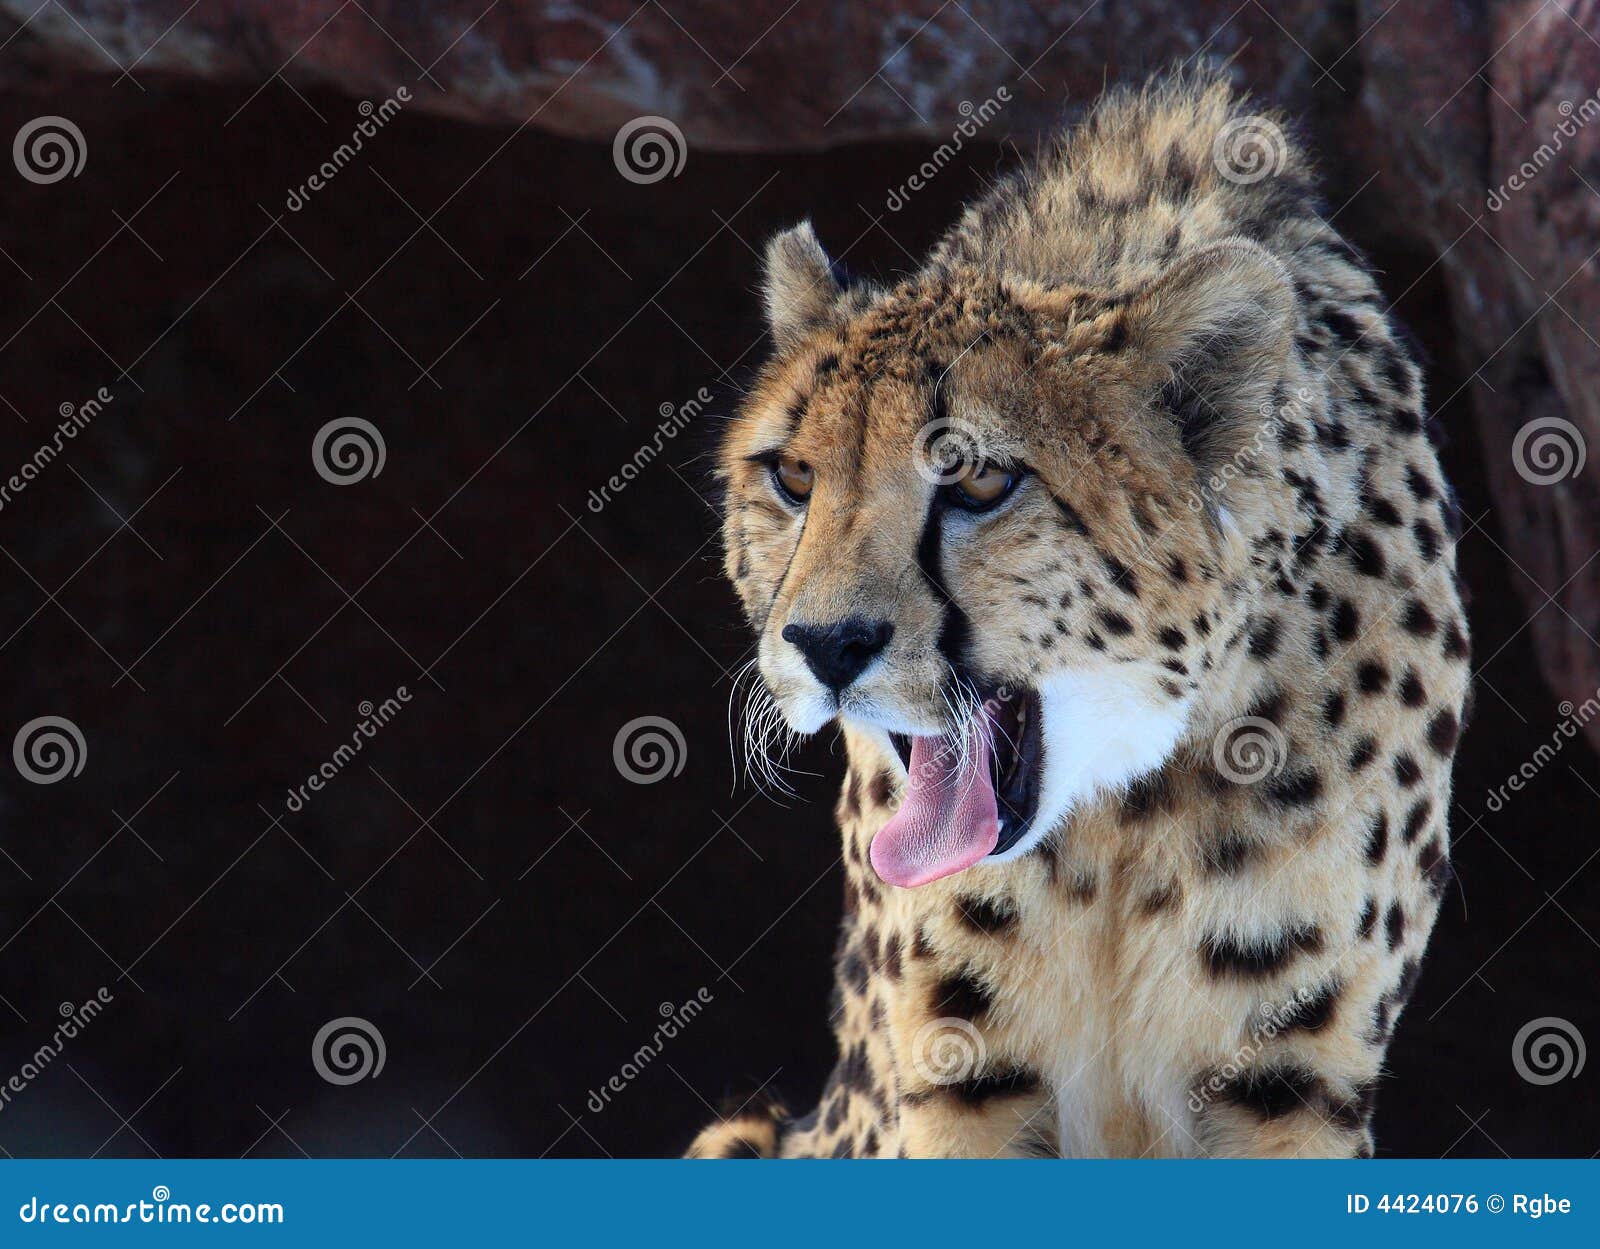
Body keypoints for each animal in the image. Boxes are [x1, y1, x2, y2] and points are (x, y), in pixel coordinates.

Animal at [686, 70, 1468, 1159]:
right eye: (794, 478)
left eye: (977, 479)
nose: (825, 644)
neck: (1122, 821)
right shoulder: (952, 1078)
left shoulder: (1291, 1085)